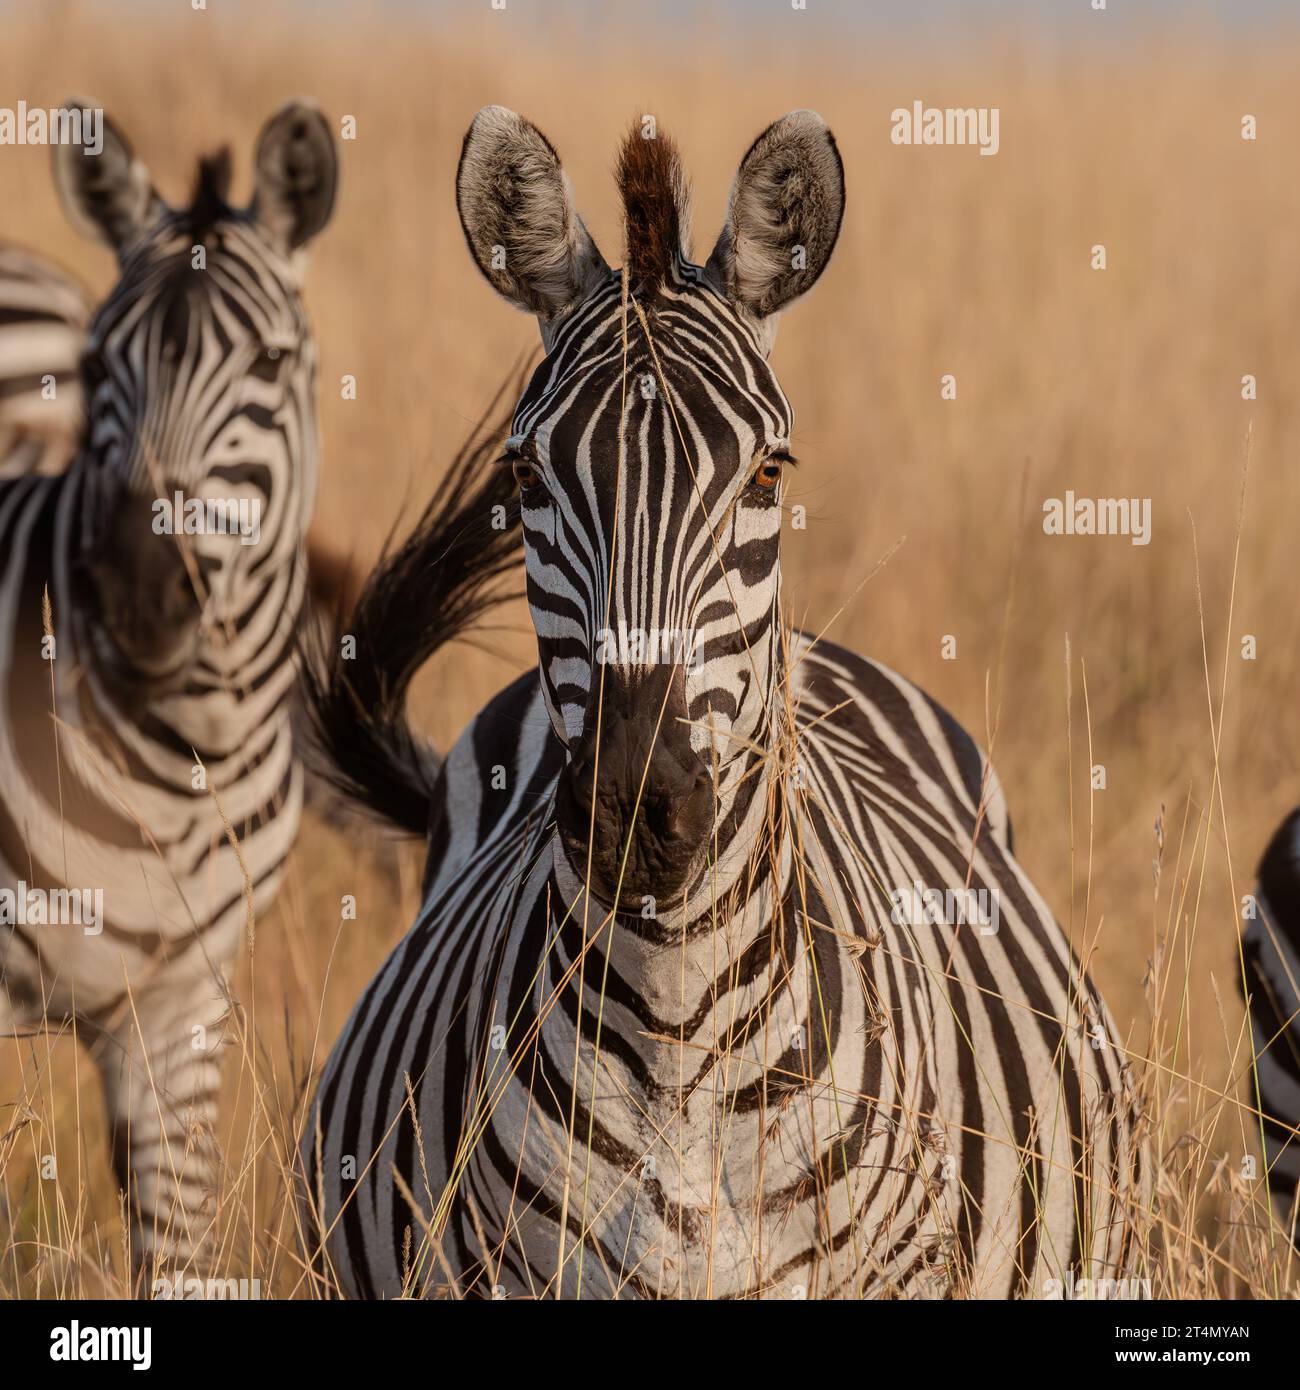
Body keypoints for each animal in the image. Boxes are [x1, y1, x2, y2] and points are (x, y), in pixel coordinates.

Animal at [0, 98, 337, 1276]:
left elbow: (178, 1251)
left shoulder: (184, 1015)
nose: (143, 589)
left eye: (273, 361)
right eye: (103, 366)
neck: (190, 751)